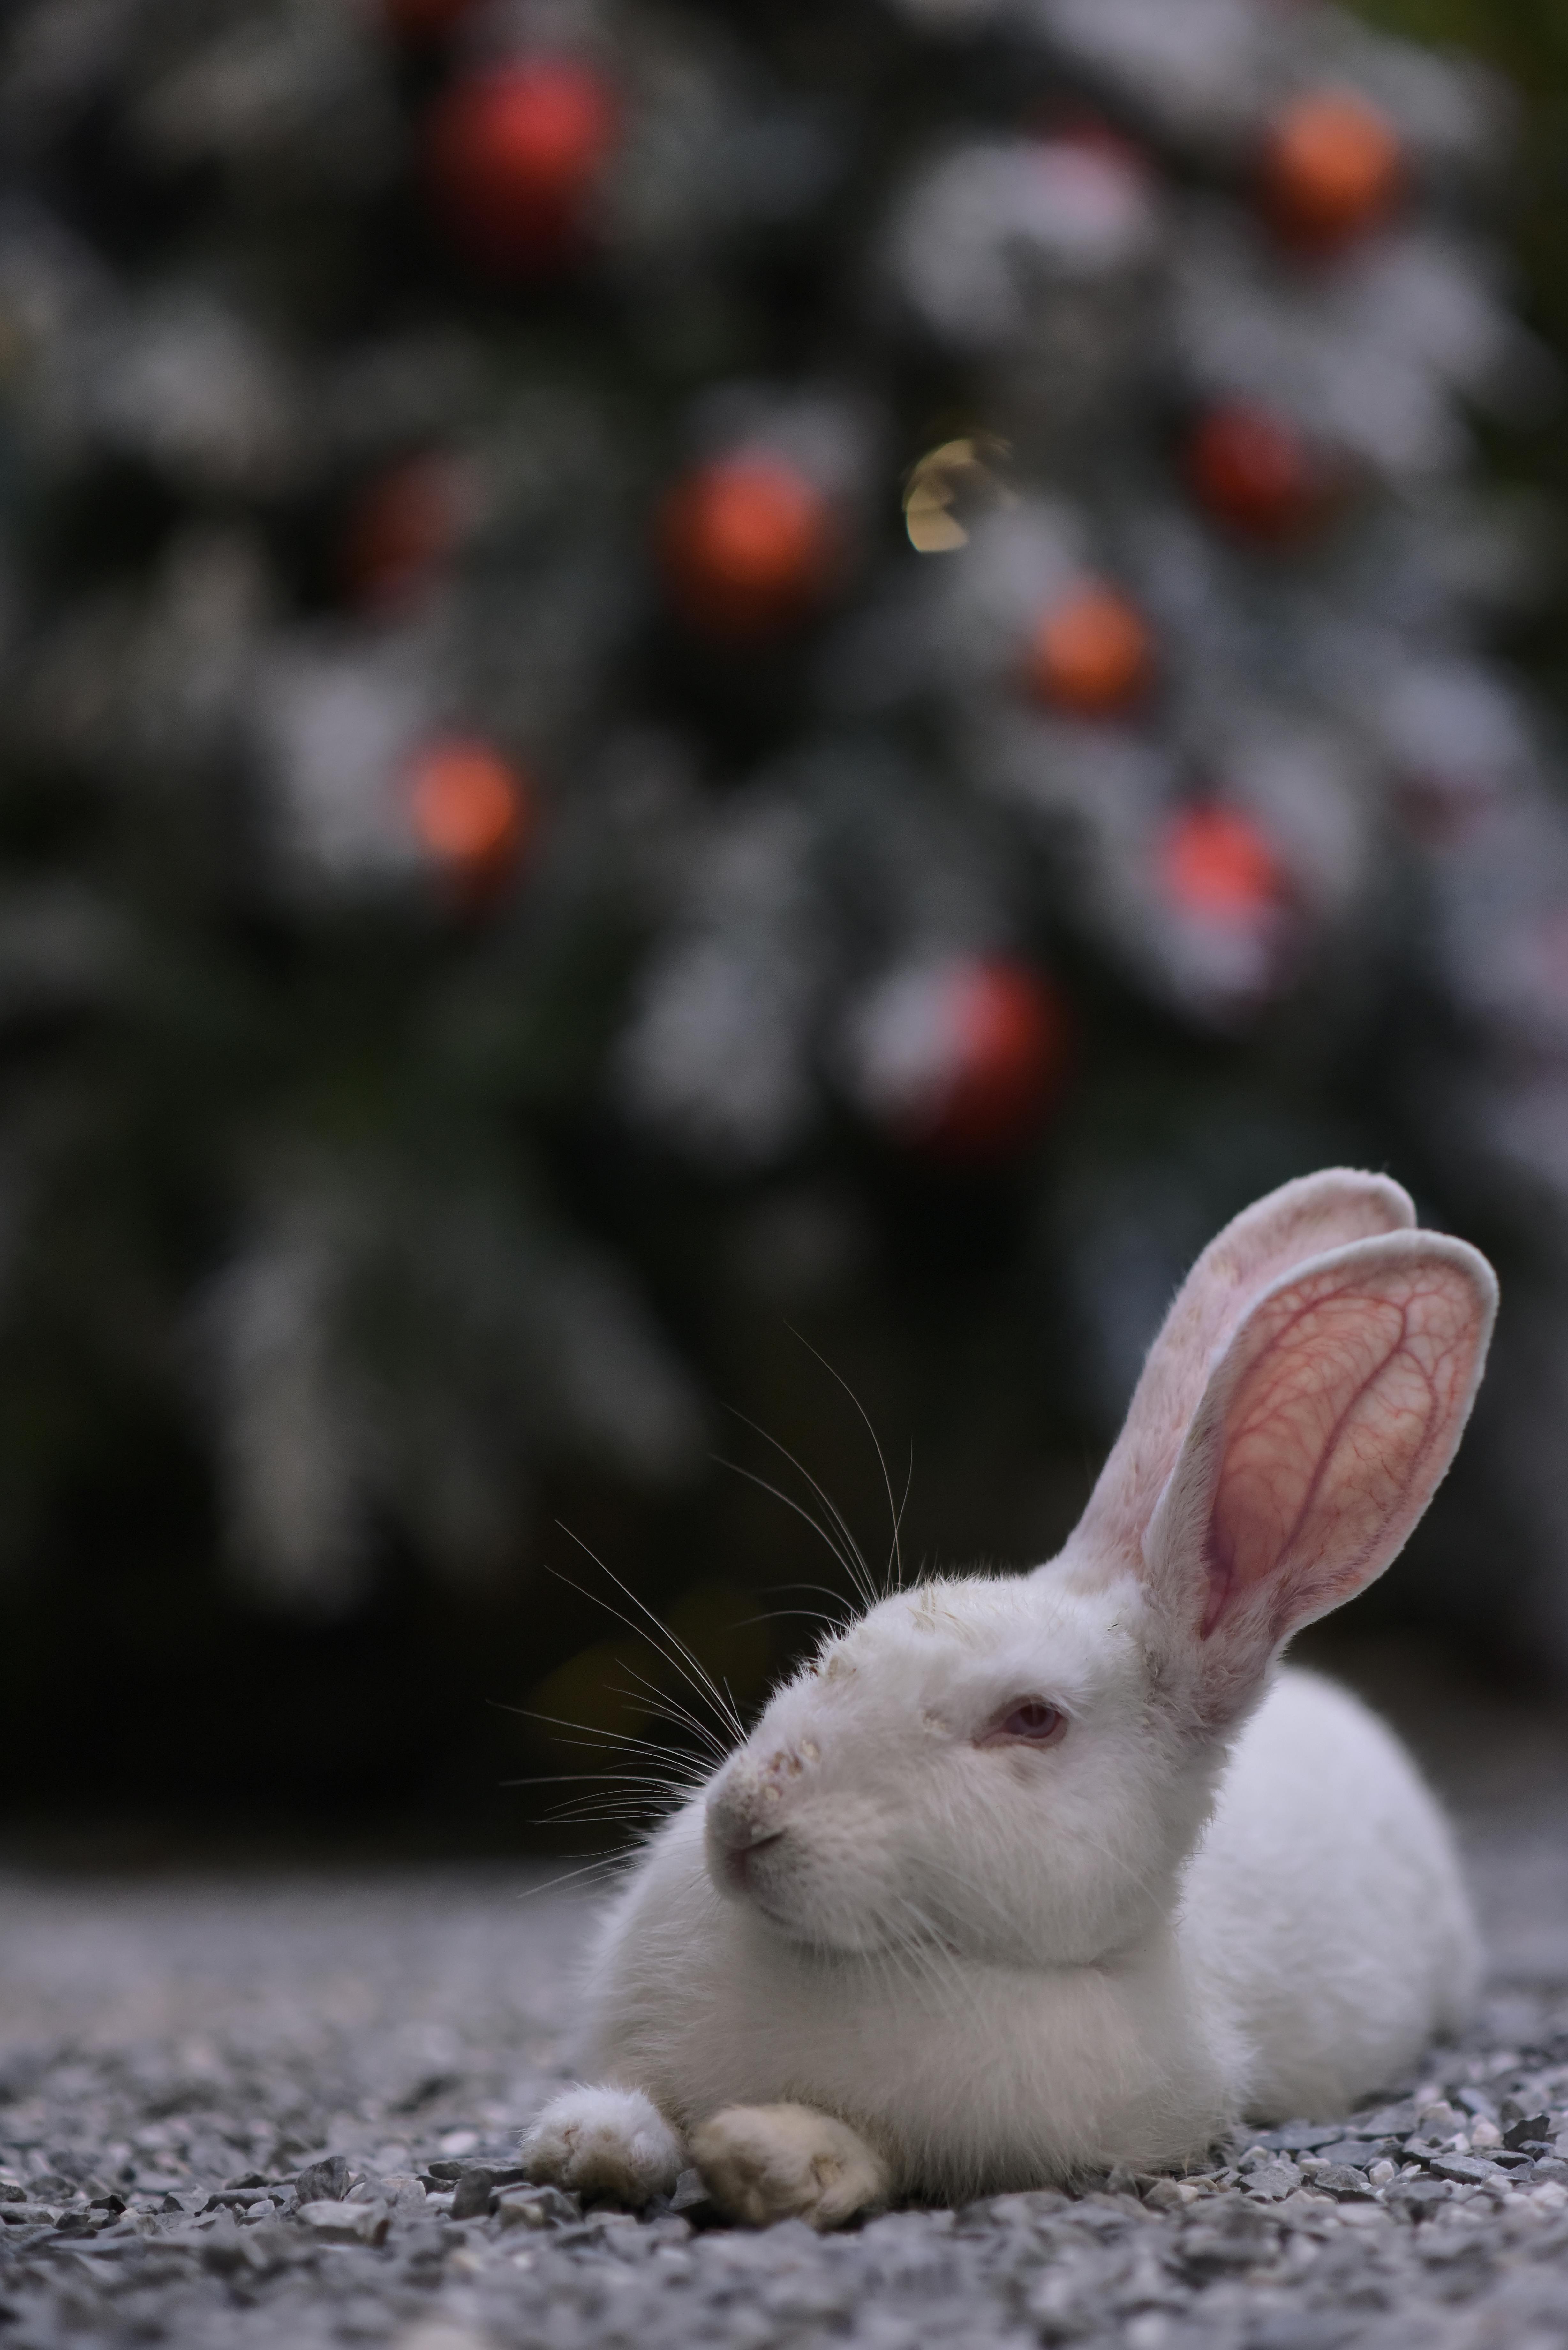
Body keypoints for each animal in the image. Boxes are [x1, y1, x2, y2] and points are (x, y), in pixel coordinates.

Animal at [522, 1169, 1496, 2229]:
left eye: (1030, 1719)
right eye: (840, 1646)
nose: (742, 1822)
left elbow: (874, 2149)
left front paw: (768, 2155)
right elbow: (641, 2100)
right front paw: (587, 2140)